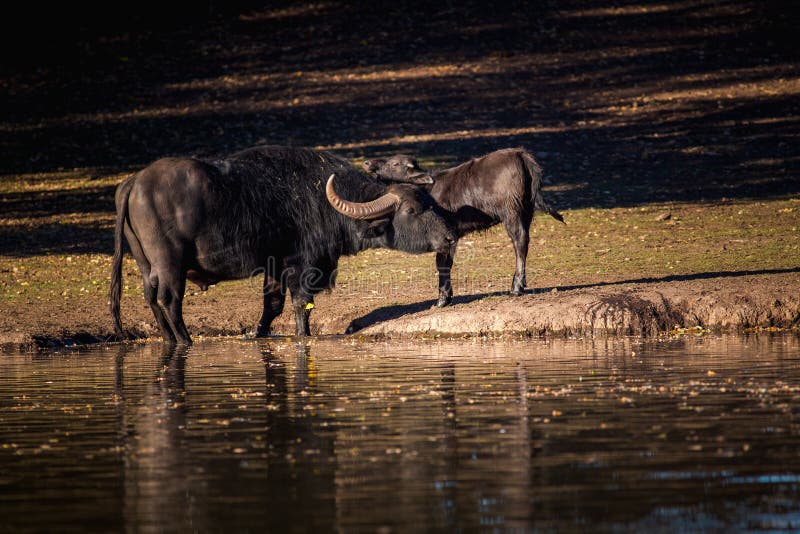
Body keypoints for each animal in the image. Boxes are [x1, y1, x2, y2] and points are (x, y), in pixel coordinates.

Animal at [111, 145, 457, 345]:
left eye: (428, 202)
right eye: (412, 210)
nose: (449, 237)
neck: (322, 199)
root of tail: (135, 182)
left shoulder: (274, 263)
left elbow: (272, 304)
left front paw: (257, 333)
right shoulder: (303, 264)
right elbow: (301, 305)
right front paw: (303, 335)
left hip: (146, 266)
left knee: (151, 298)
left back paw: (170, 340)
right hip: (170, 264)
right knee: (169, 300)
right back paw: (185, 341)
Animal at [363, 148, 564, 307]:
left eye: (395, 163)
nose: (367, 163)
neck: (428, 193)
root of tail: (521, 155)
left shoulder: (446, 233)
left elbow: (441, 263)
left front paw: (442, 299)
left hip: (511, 211)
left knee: (519, 241)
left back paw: (516, 287)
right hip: (527, 210)